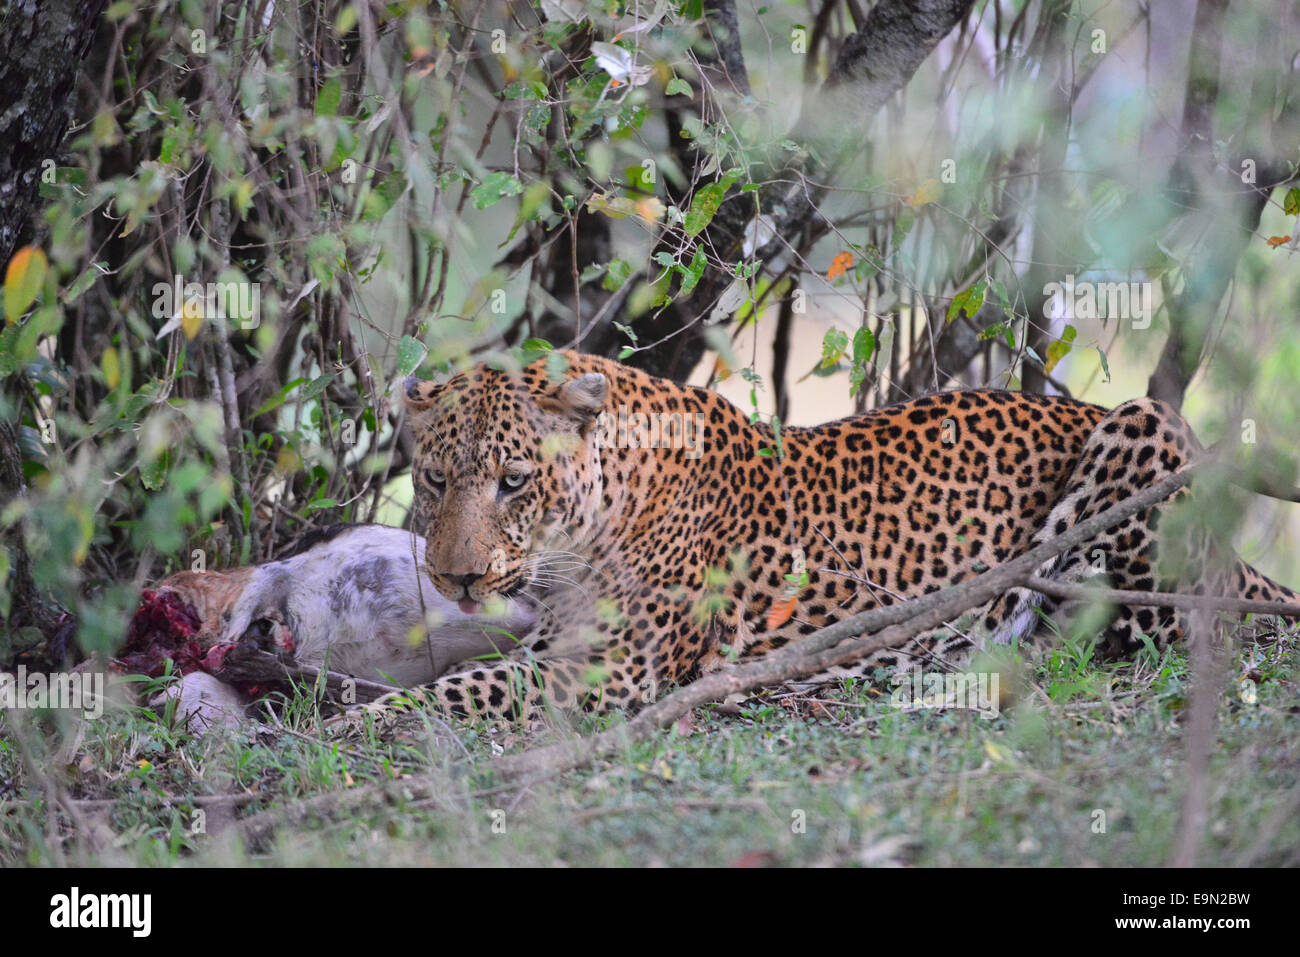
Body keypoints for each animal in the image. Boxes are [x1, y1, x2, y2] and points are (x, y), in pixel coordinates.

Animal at [401, 350, 1298, 721]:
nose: (456, 579)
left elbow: (458, 690)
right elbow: (470, 674)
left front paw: (370, 720)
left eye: (515, 480)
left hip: (1142, 425)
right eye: (436, 479)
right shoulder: (556, 644)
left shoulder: (616, 670)